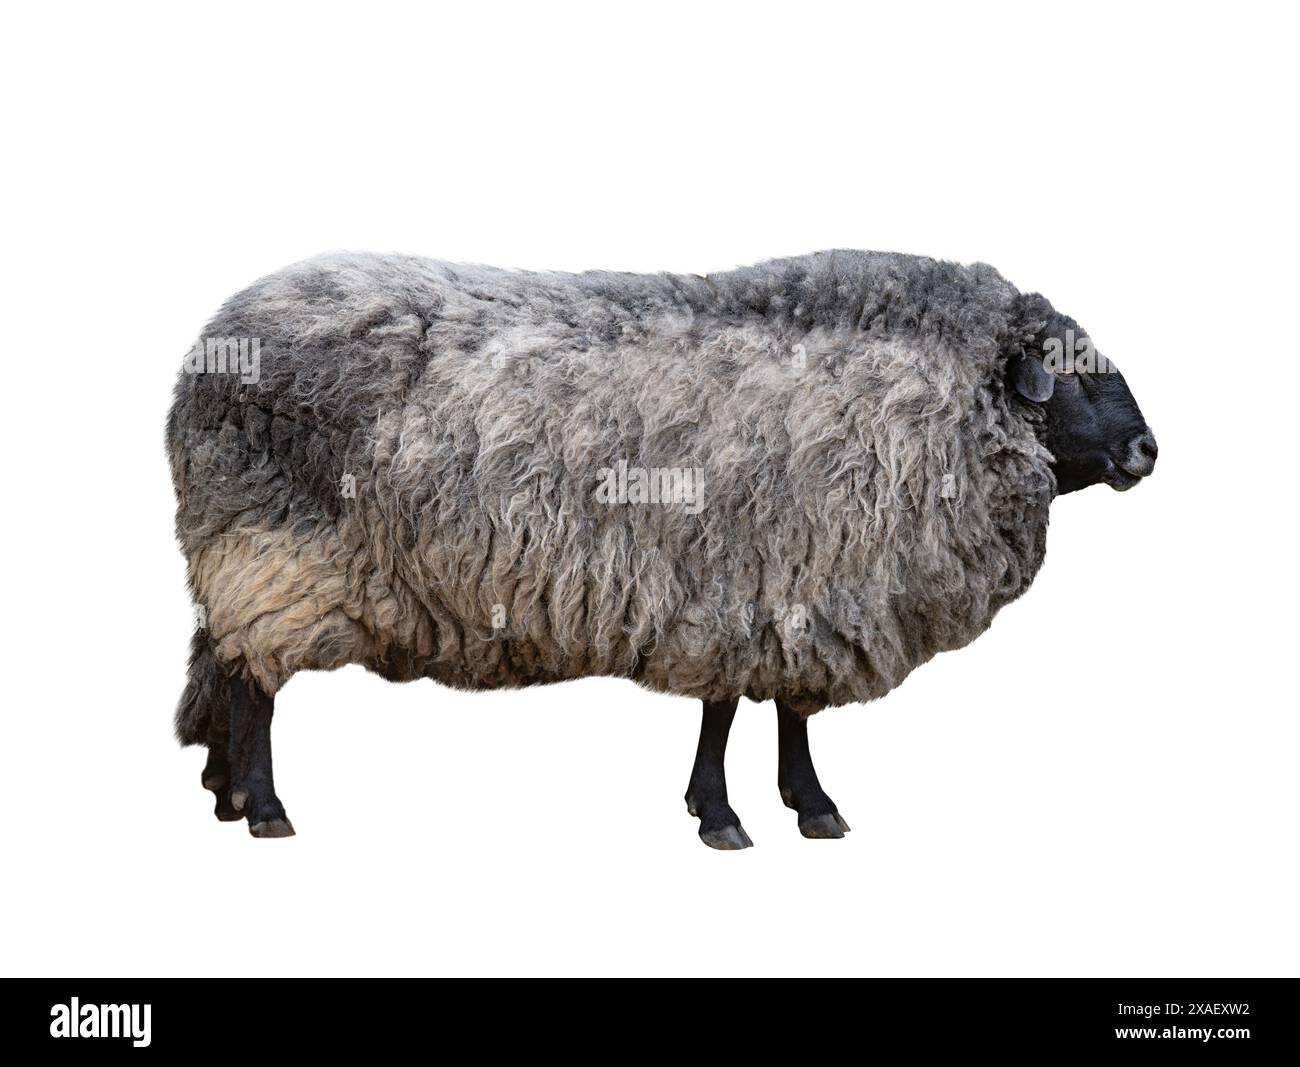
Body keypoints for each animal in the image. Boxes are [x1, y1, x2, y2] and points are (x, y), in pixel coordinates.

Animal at [167, 250, 1157, 845]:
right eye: (1071, 372)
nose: (1148, 449)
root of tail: (207, 352)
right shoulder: (749, 584)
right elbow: (730, 712)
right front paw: (724, 814)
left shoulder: (790, 591)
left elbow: (780, 711)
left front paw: (803, 803)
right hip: (274, 559)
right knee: (254, 687)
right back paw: (264, 806)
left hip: (239, 560)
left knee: (222, 664)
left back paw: (221, 789)